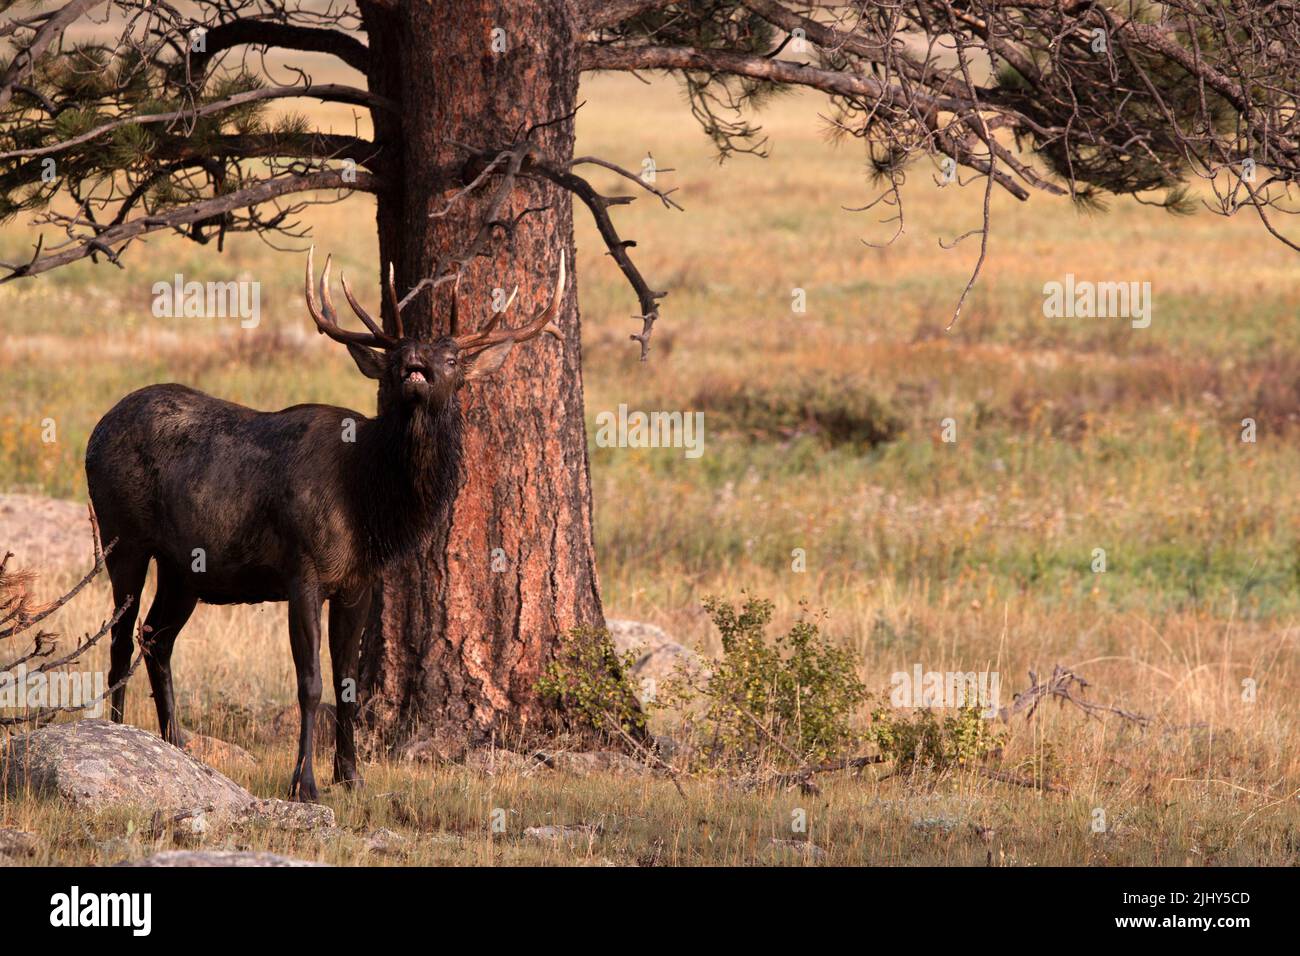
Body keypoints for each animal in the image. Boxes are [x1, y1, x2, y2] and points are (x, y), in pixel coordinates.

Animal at [84, 248, 564, 801]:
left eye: (451, 359)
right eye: (395, 355)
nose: (415, 363)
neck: (369, 502)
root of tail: (96, 431)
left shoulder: (359, 582)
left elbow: (348, 684)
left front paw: (352, 775)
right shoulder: (303, 568)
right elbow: (310, 684)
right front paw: (305, 783)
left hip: (184, 569)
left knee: (155, 636)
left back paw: (174, 745)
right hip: (122, 535)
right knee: (120, 636)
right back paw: (118, 734)